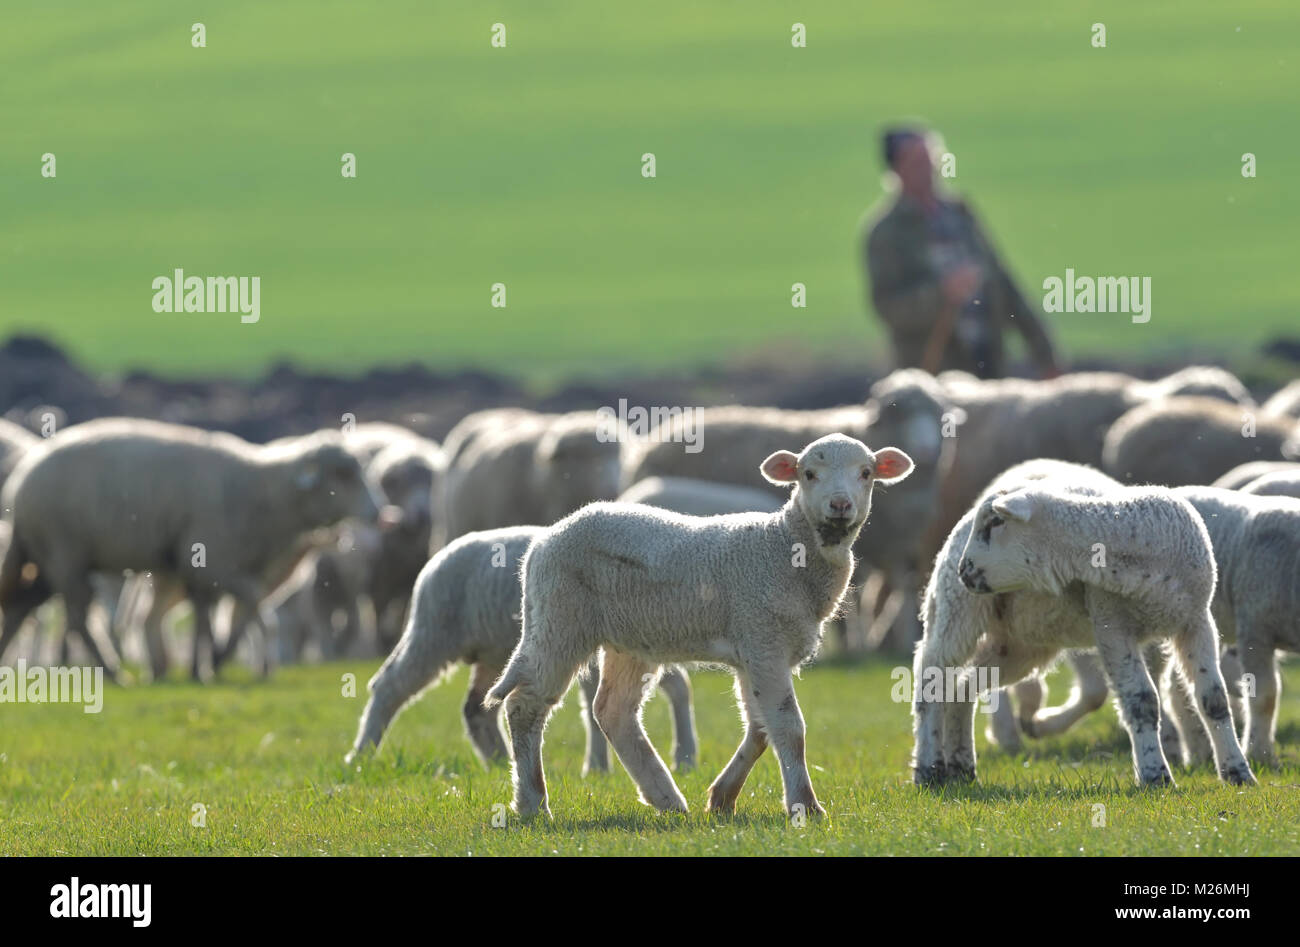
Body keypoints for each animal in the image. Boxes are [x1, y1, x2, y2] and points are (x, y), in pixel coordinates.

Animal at [0, 419, 381, 681]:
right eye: (342, 474)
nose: (377, 512)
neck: (262, 492)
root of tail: (21, 481)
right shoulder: (212, 562)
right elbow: (247, 602)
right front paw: (221, 659)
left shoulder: (204, 569)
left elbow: (206, 616)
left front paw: (204, 667)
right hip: (63, 554)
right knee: (77, 619)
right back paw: (114, 673)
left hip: (45, 560)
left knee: (21, 608)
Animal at [345, 527, 698, 774]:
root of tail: (434, 561)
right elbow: (597, 706)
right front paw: (598, 766)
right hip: (433, 633)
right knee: (390, 685)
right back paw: (361, 753)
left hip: (492, 653)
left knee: (476, 709)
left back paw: (502, 761)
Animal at [485, 434, 915, 819]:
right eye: (808, 474)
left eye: (866, 473)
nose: (840, 505)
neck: (784, 546)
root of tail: (543, 541)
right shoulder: (764, 638)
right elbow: (788, 726)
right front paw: (805, 806)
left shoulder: (754, 649)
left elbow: (760, 730)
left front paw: (723, 798)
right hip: (560, 619)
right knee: (525, 705)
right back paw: (533, 805)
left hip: (629, 639)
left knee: (613, 711)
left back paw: (666, 798)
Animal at [912, 459, 1254, 788]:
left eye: (996, 522)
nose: (965, 570)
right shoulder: (1111, 624)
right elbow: (1141, 701)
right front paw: (1155, 776)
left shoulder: (1197, 622)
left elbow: (1214, 700)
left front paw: (1238, 772)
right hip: (956, 611)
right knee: (931, 678)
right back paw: (929, 769)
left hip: (1021, 643)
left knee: (963, 687)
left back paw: (961, 767)